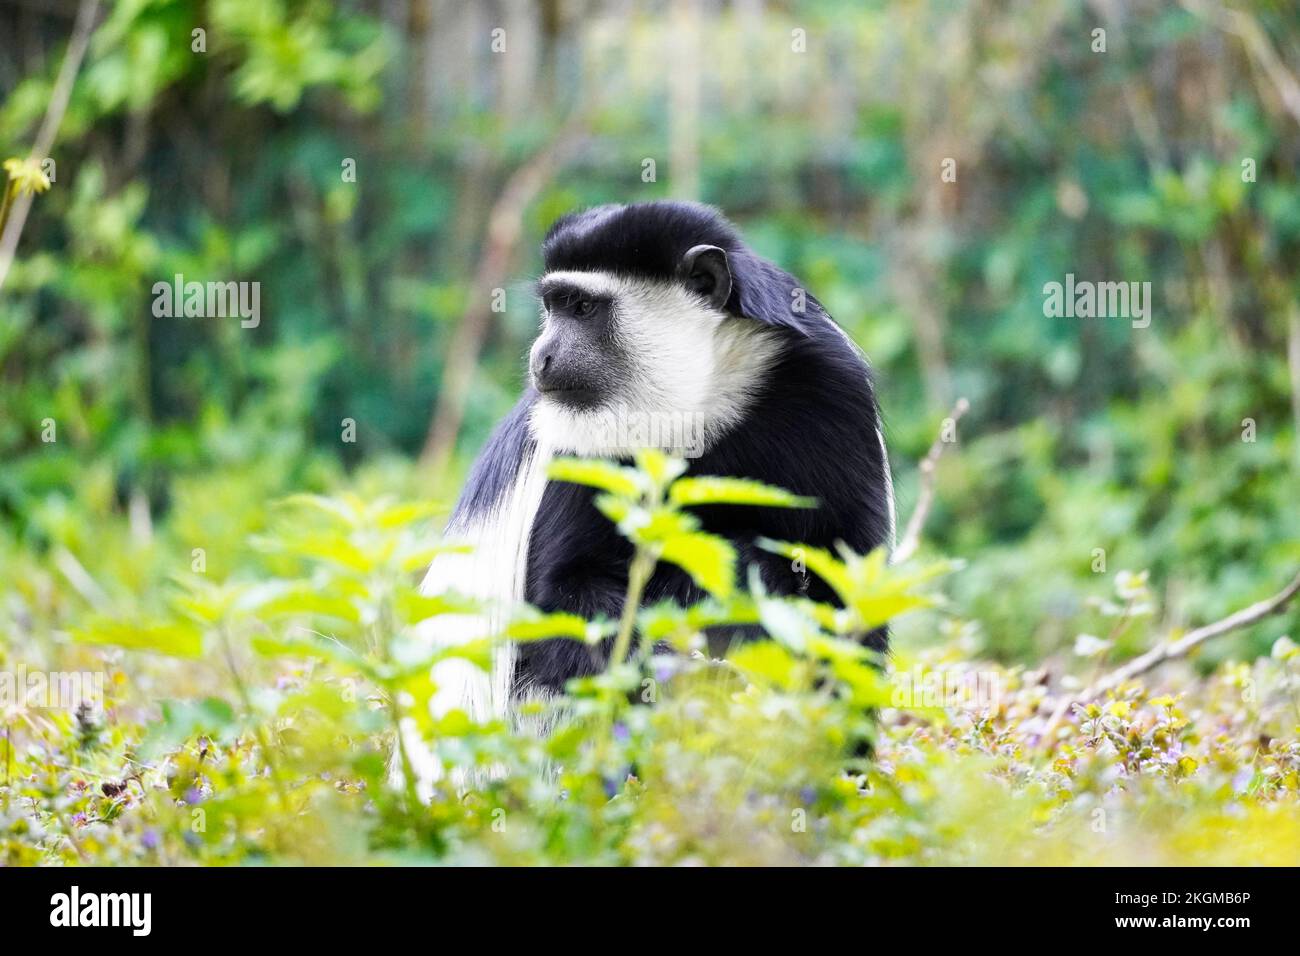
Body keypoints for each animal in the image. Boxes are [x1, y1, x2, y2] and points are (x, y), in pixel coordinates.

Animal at [410, 200, 894, 744]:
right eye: (553, 305)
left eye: (582, 308)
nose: (541, 356)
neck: (703, 398)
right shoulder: (576, 445)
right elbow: (562, 595)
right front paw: (686, 677)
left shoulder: (834, 389)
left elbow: (846, 575)